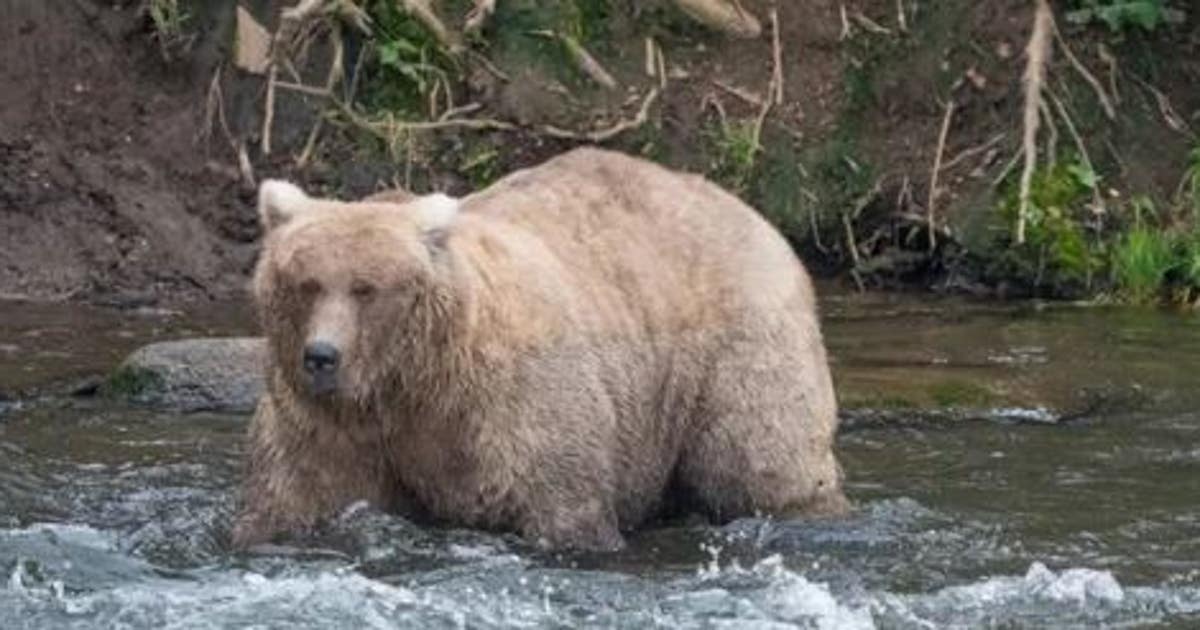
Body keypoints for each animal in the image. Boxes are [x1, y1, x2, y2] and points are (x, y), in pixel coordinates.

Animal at [231, 147, 847, 551]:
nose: (322, 356)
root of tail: (754, 214)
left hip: (735, 344)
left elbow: (562, 503)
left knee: (759, 460)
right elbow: (295, 495)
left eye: (366, 288)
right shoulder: (328, 423)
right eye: (306, 282)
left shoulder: (512, 404)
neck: (412, 381)